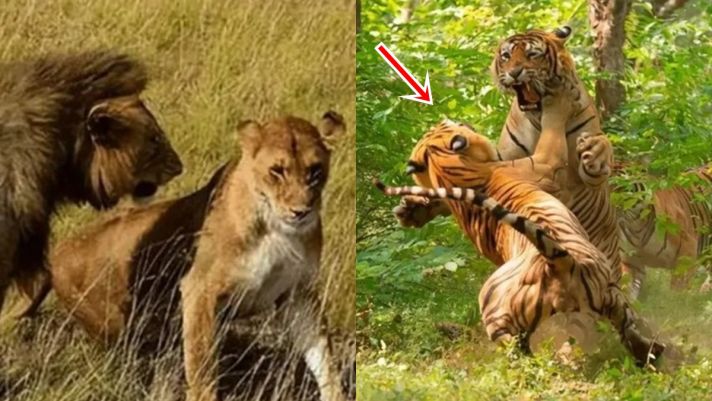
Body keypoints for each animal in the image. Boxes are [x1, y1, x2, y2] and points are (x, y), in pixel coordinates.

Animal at [39, 112, 347, 401]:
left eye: (315, 171)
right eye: (277, 171)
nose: (301, 211)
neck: (275, 229)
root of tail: (58, 250)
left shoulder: (298, 293)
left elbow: (323, 357)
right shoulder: (200, 291)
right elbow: (202, 368)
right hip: (115, 328)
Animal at [377, 114, 664, 364]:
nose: (456, 120)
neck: (450, 170)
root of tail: (559, 262)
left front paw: (409, 210)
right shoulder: (544, 162)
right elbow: (553, 129)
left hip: (608, 295)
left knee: (628, 330)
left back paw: (652, 352)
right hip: (498, 305)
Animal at [395, 26, 621, 281]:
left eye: (533, 55)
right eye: (506, 56)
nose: (514, 73)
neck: (539, 116)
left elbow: (599, 150)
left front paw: (594, 157)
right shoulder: (508, 160)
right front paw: (414, 208)